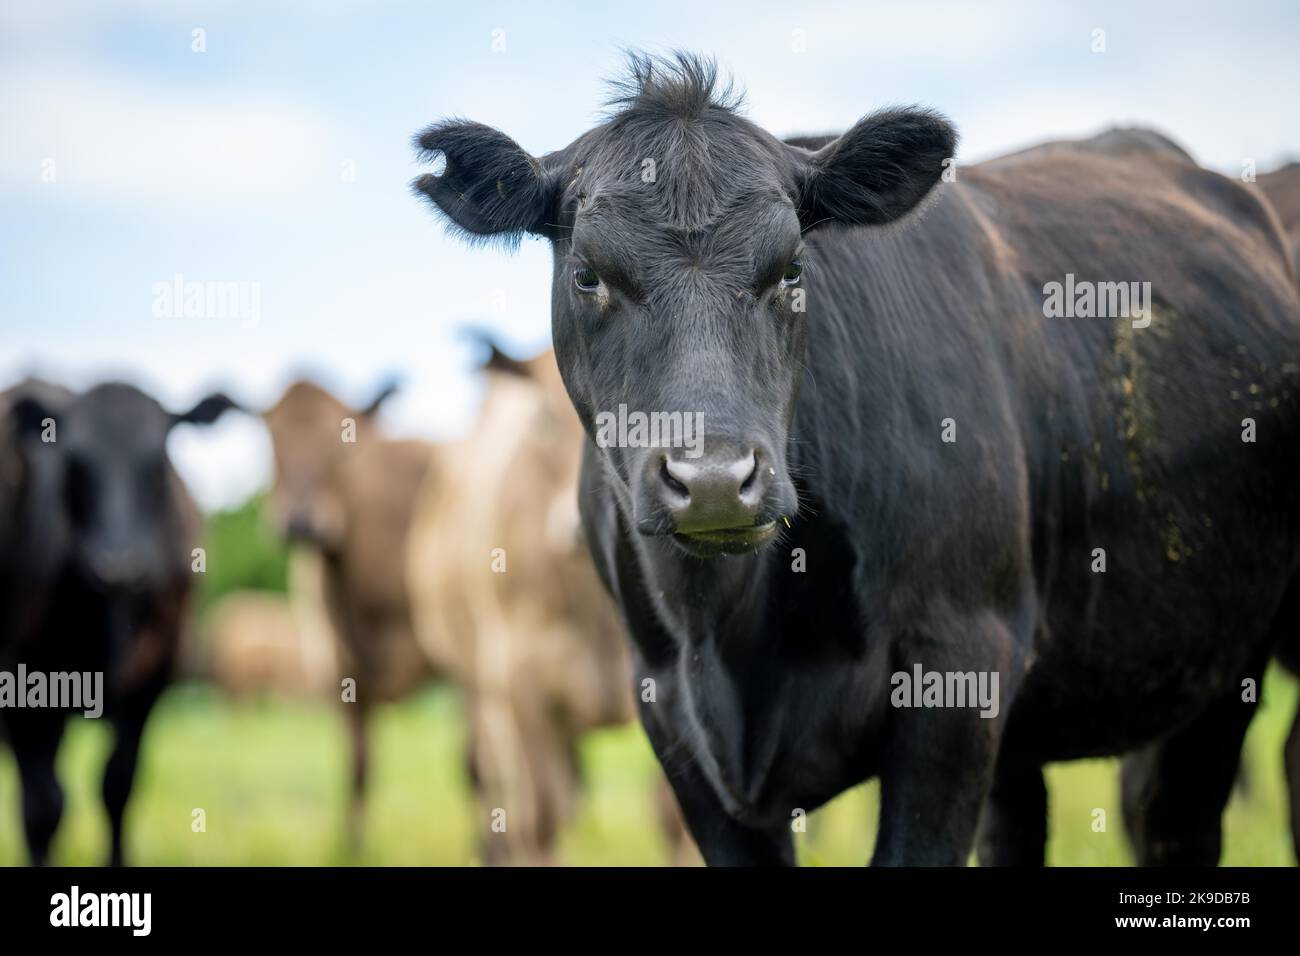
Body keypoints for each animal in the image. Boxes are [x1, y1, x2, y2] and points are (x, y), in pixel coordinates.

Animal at [0, 380, 236, 865]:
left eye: (157, 463)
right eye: (74, 463)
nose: (118, 566)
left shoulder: (152, 680)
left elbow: (118, 787)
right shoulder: (18, 681)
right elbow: (42, 807)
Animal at [260, 379, 438, 846]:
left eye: (337, 448)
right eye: (271, 443)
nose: (300, 522)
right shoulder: (339, 666)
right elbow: (358, 763)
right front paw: (353, 844)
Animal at [405, 339, 693, 864]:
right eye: (542, 421)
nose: (575, 525)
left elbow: (674, 816)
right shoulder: (521, 679)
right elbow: (539, 817)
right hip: (478, 689)